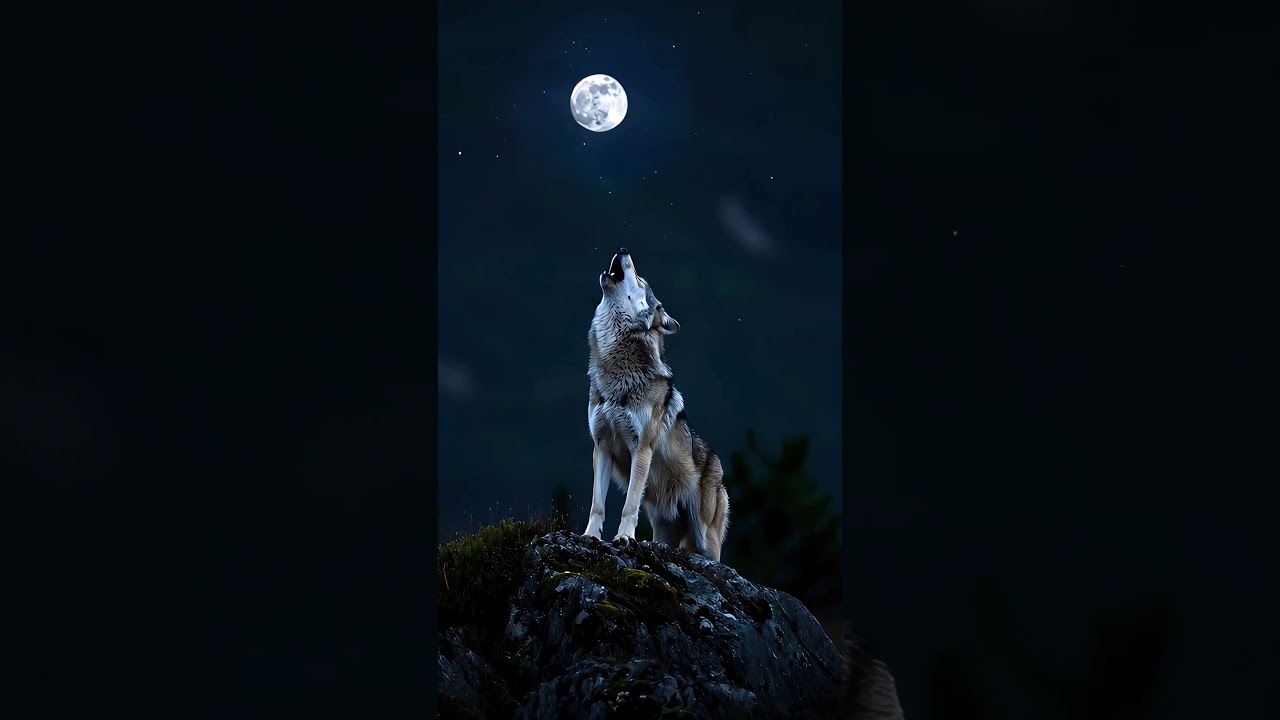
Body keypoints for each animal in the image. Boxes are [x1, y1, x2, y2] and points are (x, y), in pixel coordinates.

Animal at [583, 248, 730, 561]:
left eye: (640, 279)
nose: (623, 249)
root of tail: (717, 463)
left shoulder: (642, 448)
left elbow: (629, 505)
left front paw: (624, 538)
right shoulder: (601, 446)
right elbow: (597, 504)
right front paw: (590, 537)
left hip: (705, 536)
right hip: (664, 526)